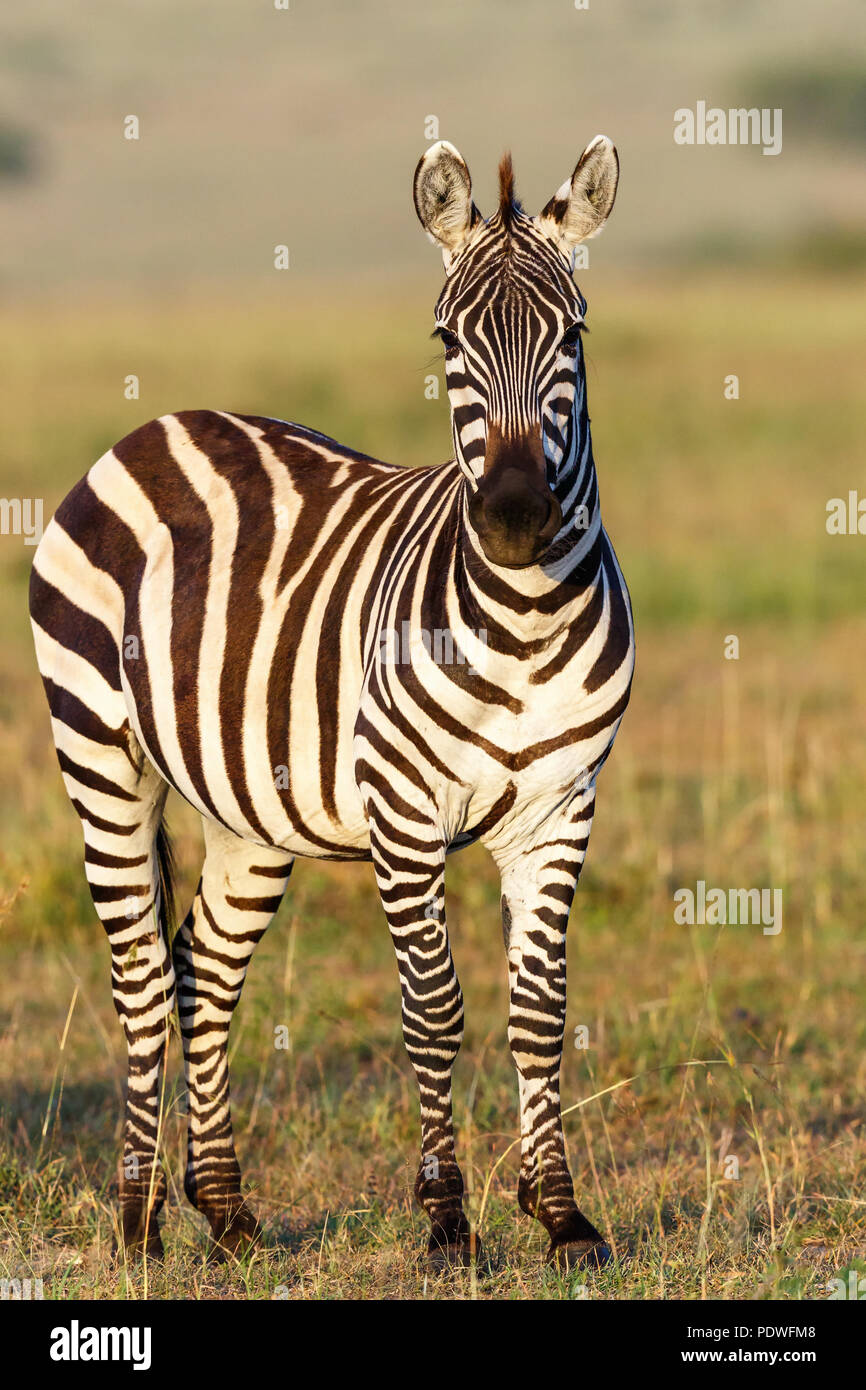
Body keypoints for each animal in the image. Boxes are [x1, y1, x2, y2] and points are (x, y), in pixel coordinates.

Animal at [29, 135, 634, 1272]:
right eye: (446, 339)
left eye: (573, 333)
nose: (515, 518)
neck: (524, 619)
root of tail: (160, 425)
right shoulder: (403, 811)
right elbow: (434, 1011)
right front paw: (446, 1221)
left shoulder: (560, 811)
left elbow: (539, 1013)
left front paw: (563, 1216)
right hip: (100, 754)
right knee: (140, 972)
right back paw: (137, 1220)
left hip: (249, 810)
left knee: (204, 970)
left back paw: (225, 1211)